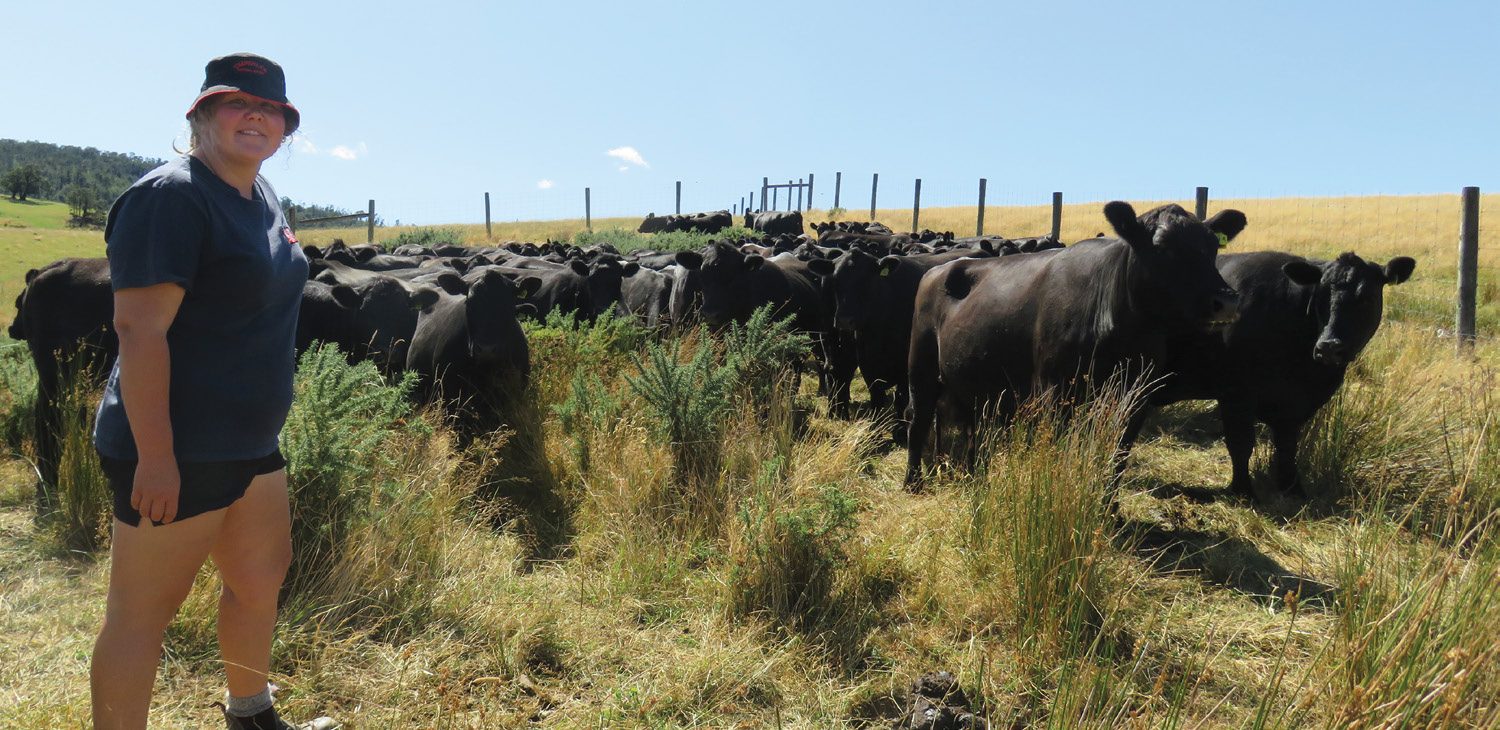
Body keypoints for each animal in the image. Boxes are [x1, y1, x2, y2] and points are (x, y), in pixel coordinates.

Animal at [904, 202, 1247, 488]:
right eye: (1162, 247)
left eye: (1213, 246)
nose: (1227, 301)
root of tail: (938, 269)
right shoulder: (1054, 393)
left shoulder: (1136, 397)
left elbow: (1117, 459)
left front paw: (1109, 510)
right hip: (921, 370)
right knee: (917, 423)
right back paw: (913, 482)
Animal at [1144, 251, 1416, 499]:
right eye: (1321, 295)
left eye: (1367, 297)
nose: (1329, 346)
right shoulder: (1235, 394)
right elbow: (1241, 444)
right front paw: (1243, 491)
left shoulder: (1294, 406)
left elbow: (1287, 447)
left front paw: (1292, 488)